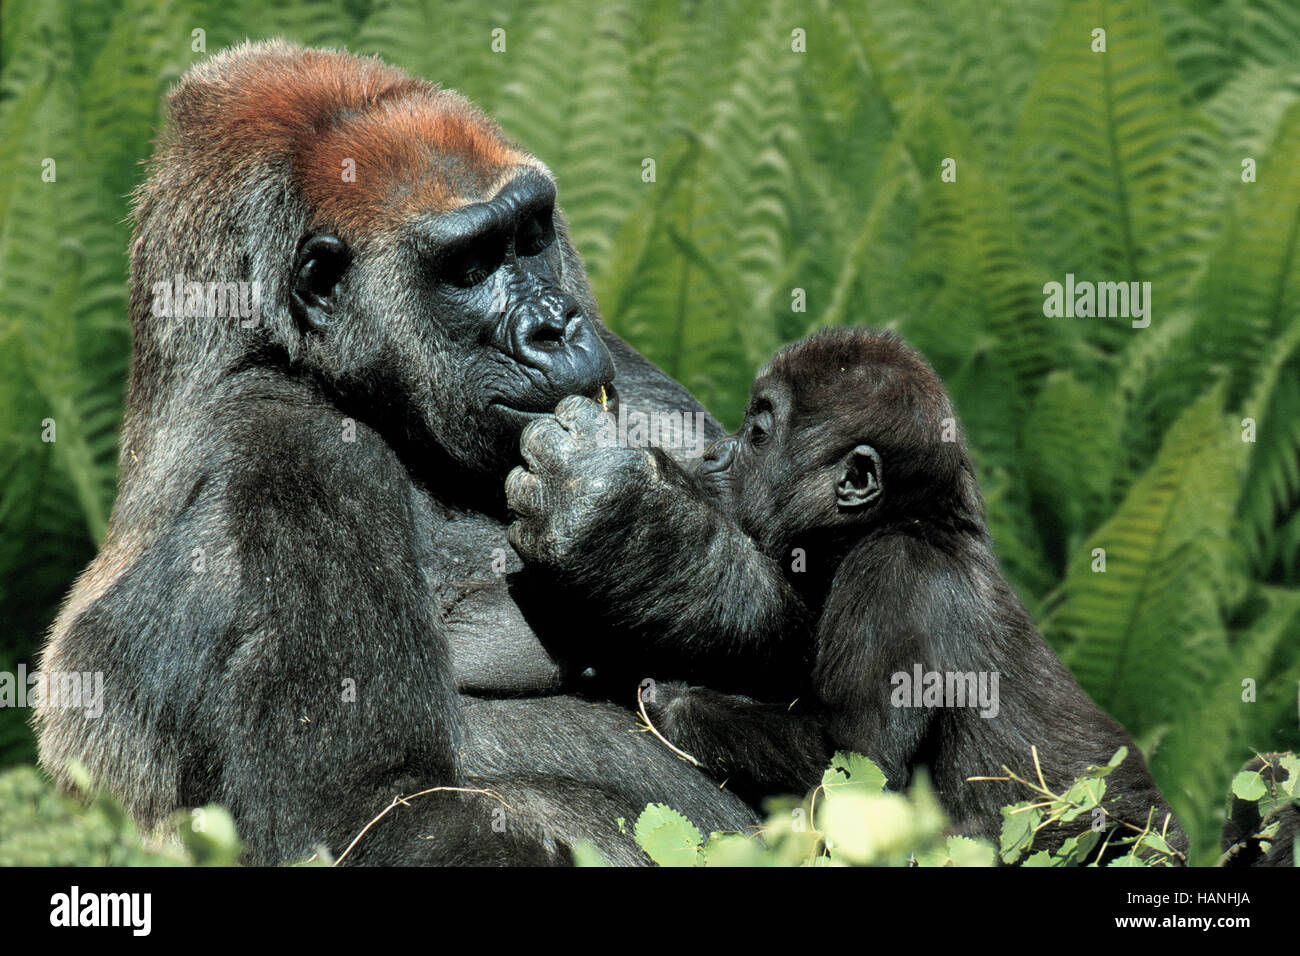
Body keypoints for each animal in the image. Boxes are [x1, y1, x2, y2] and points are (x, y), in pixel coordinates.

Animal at [35, 40, 758, 865]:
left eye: (530, 235)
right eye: (469, 268)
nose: (556, 326)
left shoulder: (619, 362)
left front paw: (655, 546)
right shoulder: (289, 454)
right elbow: (380, 812)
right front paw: (628, 531)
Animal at [507, 327, 1189, 860]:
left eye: (758, 432)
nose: (713, 452)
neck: (907, 518)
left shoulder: (893, 577)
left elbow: (858, 769)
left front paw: (672, 697)